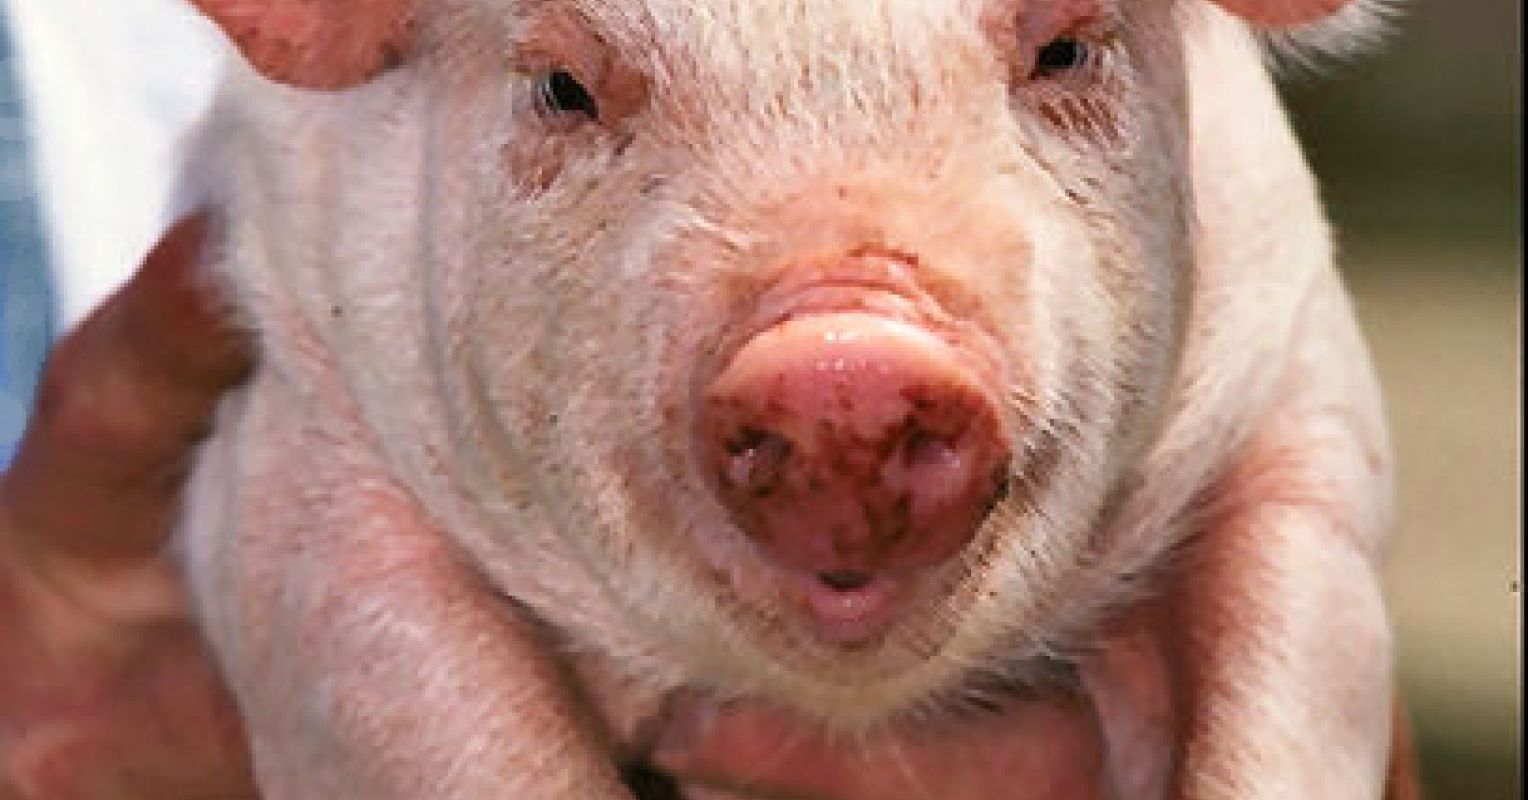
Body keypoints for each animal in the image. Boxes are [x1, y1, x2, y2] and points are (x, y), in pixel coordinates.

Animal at [170, 0, 1408, 797]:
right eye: (564, 86)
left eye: (1063, 49)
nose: (845, 368)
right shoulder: (292, 448)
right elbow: (454, 718)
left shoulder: (1297, 384)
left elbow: (1289, 683)